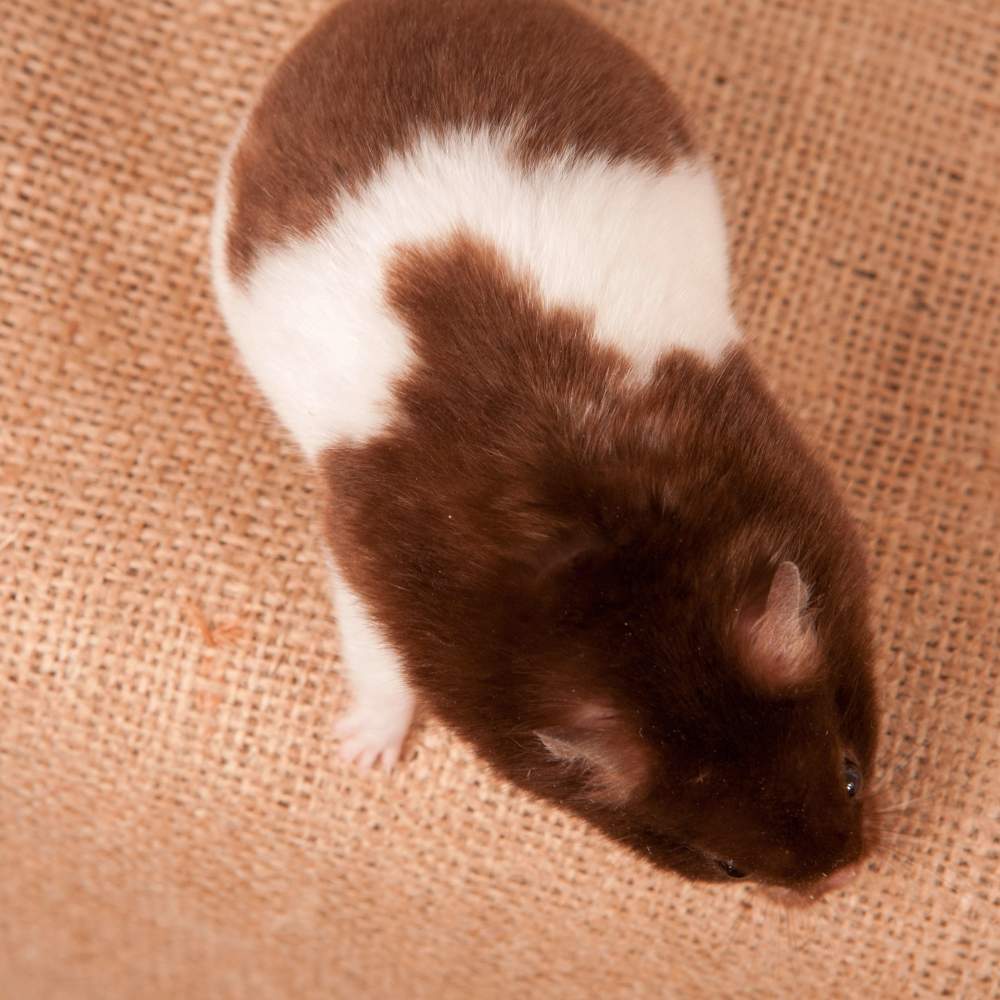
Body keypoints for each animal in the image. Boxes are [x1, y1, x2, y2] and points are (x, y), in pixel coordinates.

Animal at [211, 0, 879, 898]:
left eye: (849, 773)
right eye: (728, 865)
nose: (839, 883)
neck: (626, 595)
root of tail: (386, 10)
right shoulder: (367, 573)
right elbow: (376, 660)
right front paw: (362, 755)